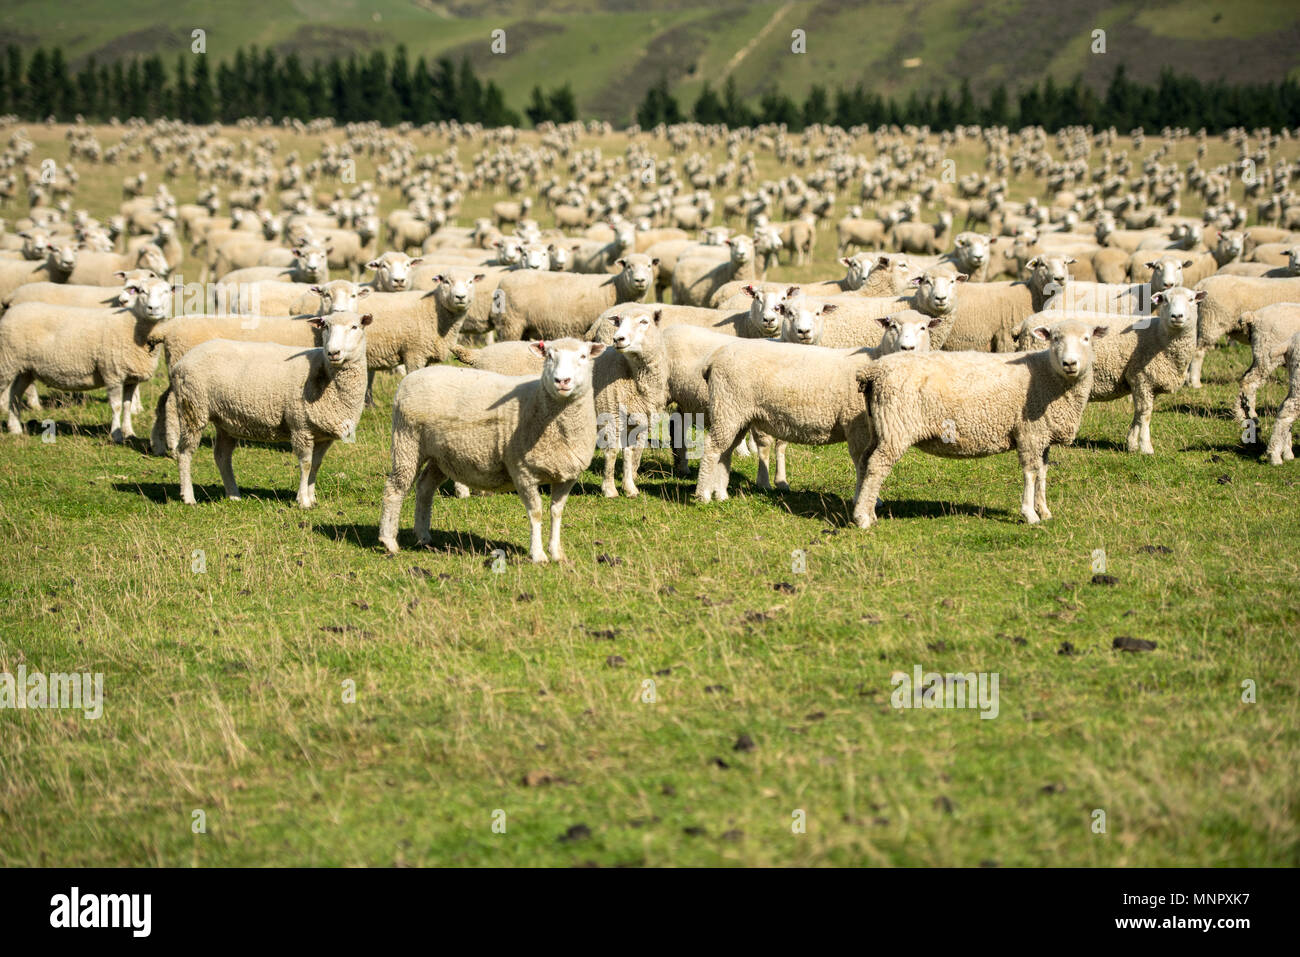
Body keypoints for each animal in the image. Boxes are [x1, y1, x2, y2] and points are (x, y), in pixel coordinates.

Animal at [0, 276, 174, 442]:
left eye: (166, 291)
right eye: (142, 291)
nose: (153, 309)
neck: (133, 325)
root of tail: (10, 309)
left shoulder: (131, 378)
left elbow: (126, 406)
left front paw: (129, 433)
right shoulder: (112, 373)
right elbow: (117, 406)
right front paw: (117, 435)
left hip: (25, 369)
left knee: (15, 394)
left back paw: (15, 428)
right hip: (7, 360)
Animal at [171, 311, 372, 508]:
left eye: (355, 327)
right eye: (325, 326)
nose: (333, 352)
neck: (326, 373)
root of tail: (181, 362)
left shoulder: (324, 435)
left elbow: (316, 465)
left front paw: (312, 497)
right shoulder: (301, 427)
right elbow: (306, 464)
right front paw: (303, 501)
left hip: (225, 420)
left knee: (222, 456)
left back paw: (233, 495)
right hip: (193, 408)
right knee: (184, 452)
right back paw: (188, 497)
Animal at [378, 338, 607, 563]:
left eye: (583, 356)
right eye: (549, 356)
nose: (562, 381)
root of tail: (411, 377)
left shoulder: (567, 476)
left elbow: (556, 512)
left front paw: (557, 553)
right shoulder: (523, 472)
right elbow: (536, 513)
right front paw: (538, 555)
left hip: (441, 455)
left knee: (425, 486)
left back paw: (423, 535)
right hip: (407, 441)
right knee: (395, 488)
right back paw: (389, 541)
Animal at [490, 255, 656, 342]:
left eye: (649, 266)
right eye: (628, 266)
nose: (639, 280)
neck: (617, 287)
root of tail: (502, 281)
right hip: (511, 323)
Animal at [854, 318, 1108, 528]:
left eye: (1086, 338)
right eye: (1055, 339)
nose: (1070, 363)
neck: (1048, 375)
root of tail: (874, 370)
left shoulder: (1043, 434)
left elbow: (1042, 473)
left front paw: (1044, 510)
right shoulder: (1030, 432)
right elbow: (1031, 473)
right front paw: (1029, 514)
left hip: (879, 425)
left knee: (864, 461)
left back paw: (866, 509)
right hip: (896, 426)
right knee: (877, 465)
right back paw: (862, 518)